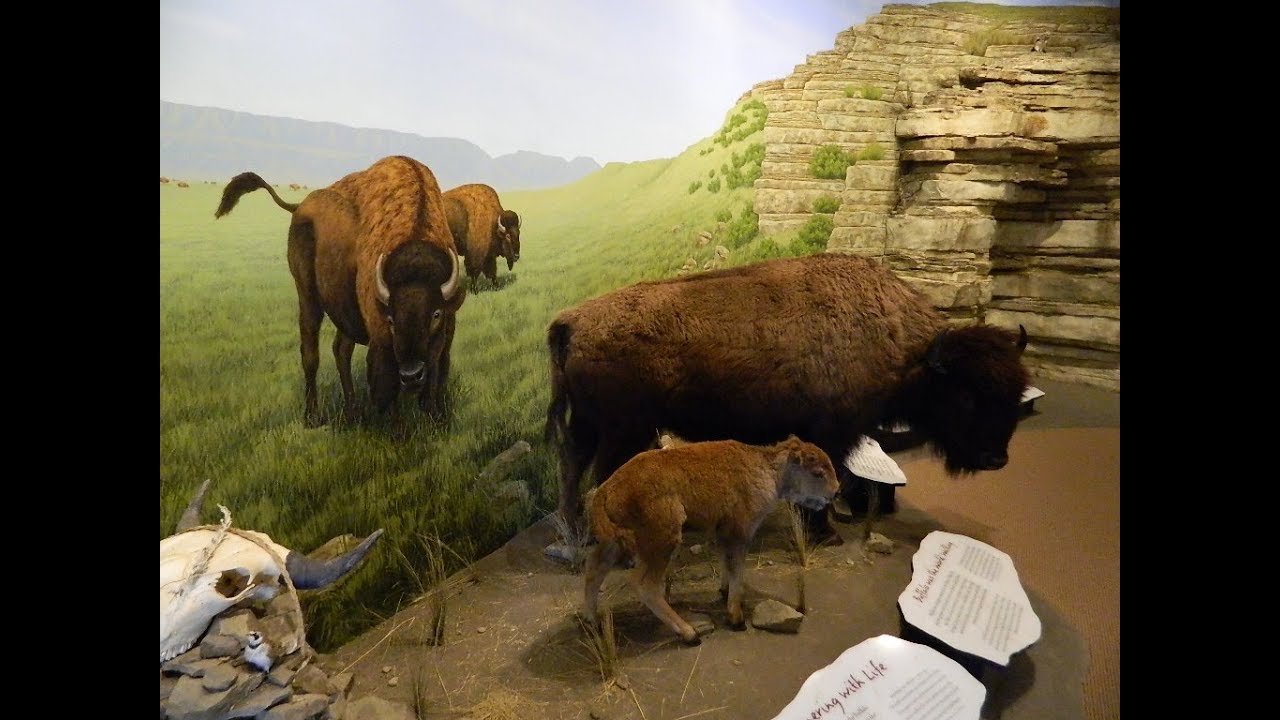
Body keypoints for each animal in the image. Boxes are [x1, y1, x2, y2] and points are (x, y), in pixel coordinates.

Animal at [215, 155, 466, 426]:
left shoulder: (446, 329)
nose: (411, 375)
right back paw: (313, 416)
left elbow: (439, 367)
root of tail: (300, 206)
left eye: (436, 314)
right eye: (390, 319)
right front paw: (397, 426)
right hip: (308, 297)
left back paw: (352, 411)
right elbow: (386, 384)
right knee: (310, 353)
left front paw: (437, 416)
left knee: (341, 350)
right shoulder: (380, 336)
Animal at [545, 252, 1030, 531]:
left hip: (590, 424)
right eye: (967, 395)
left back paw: (573, 532)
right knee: (599, 474)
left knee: (572, 467)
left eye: (1015, 394)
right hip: (621, 430)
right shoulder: (832, 434)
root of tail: (571, 320)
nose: (996, 459)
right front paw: (825, 531)